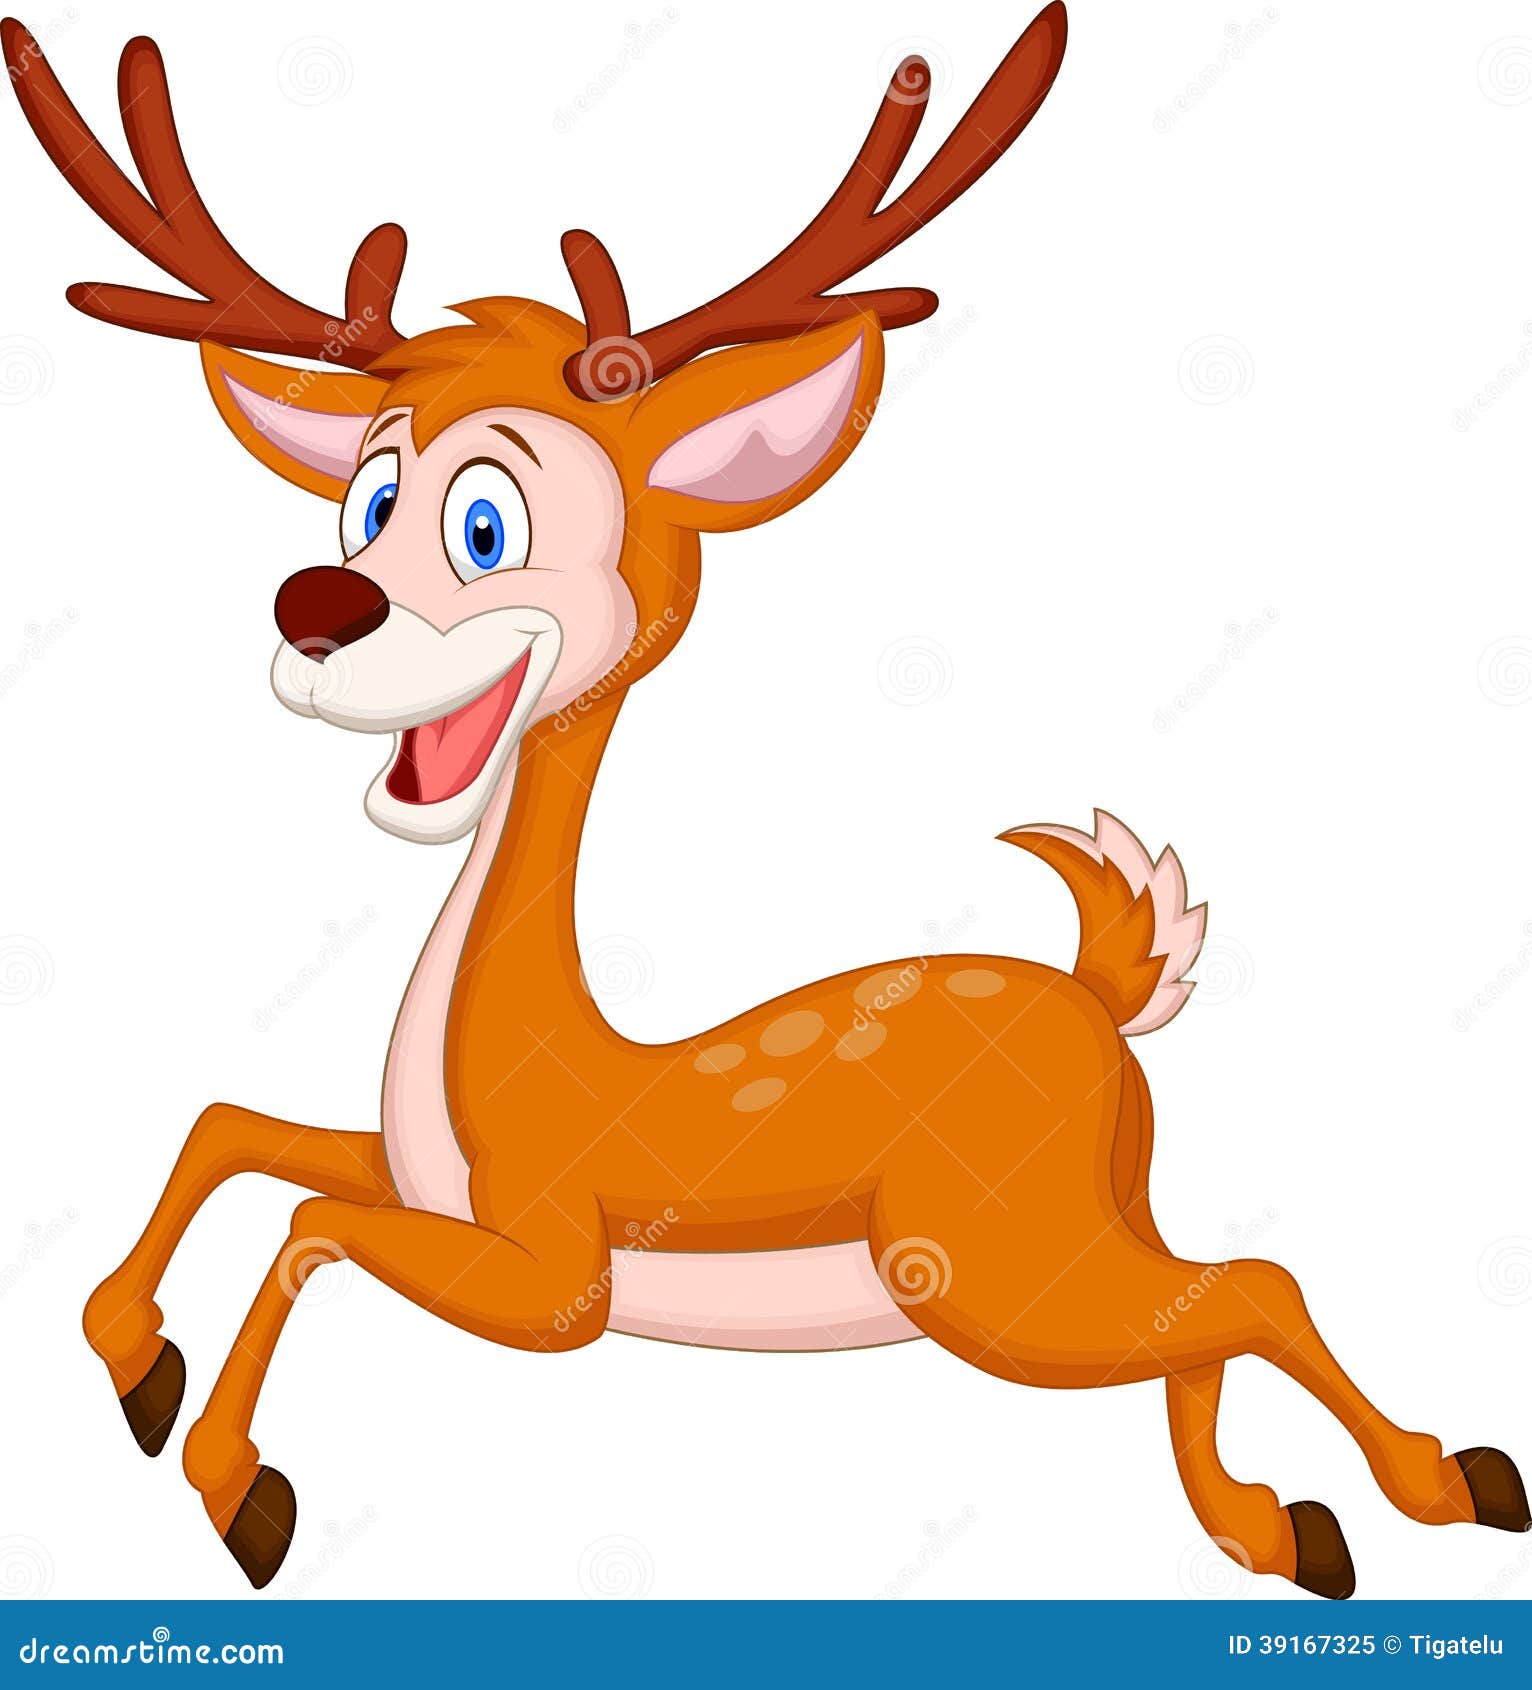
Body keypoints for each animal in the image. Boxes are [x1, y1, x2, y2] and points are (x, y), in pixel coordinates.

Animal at [6, 3, 1526, 1598]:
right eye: (363, 500)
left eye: (485, 521)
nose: (315, 607)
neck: (513, 1063)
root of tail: (1096, 997)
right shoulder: (420, 1185)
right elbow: (229, 1125)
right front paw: (133, 1361)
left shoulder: (555, 1278)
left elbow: (307, 1225)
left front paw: (235, 1484)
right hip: (1073, 1246)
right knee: (1209, 1308)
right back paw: (1278, 1524)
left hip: (997, 1276)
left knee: (1255, 1285)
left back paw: (1449, 1480)